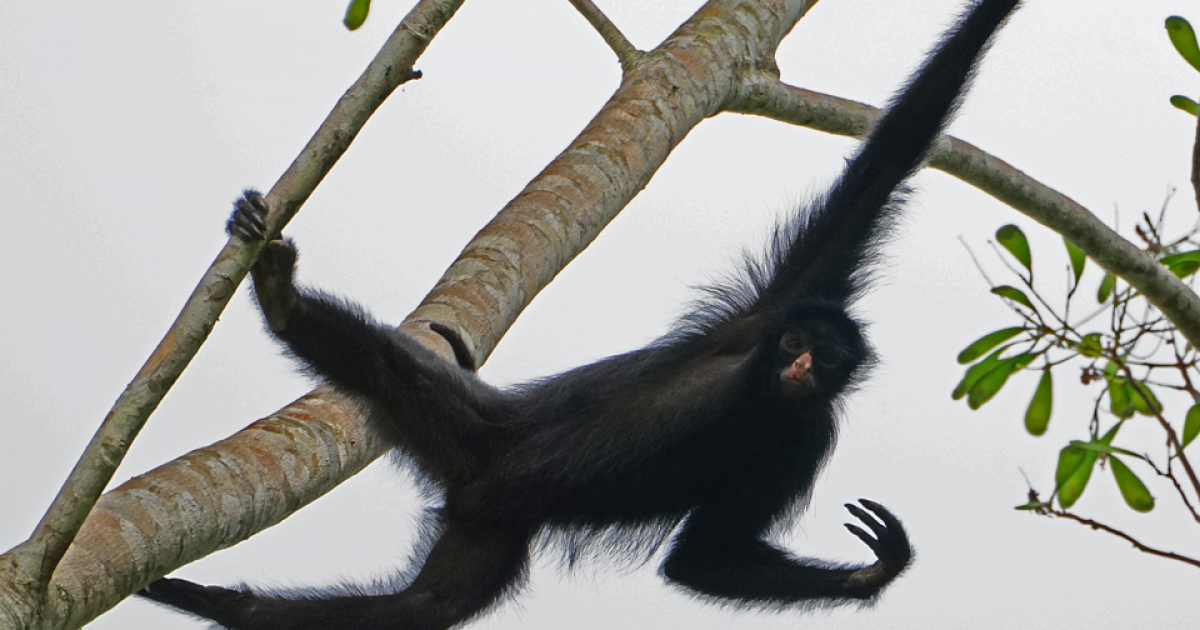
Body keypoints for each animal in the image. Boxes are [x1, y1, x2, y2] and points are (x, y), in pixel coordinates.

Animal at [138, 0, 1019, 628]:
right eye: (795, 343)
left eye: (826, 361)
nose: (801, 364)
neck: (761, 393)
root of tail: (476, 483)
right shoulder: (765, 315)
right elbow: (887, 158)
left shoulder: (805, 437)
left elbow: (701, 561)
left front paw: (879, 570)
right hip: (480, 435)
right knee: (384, 369)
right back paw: (283, 303)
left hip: (492, 526)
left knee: (420, 610)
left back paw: (226, 606)